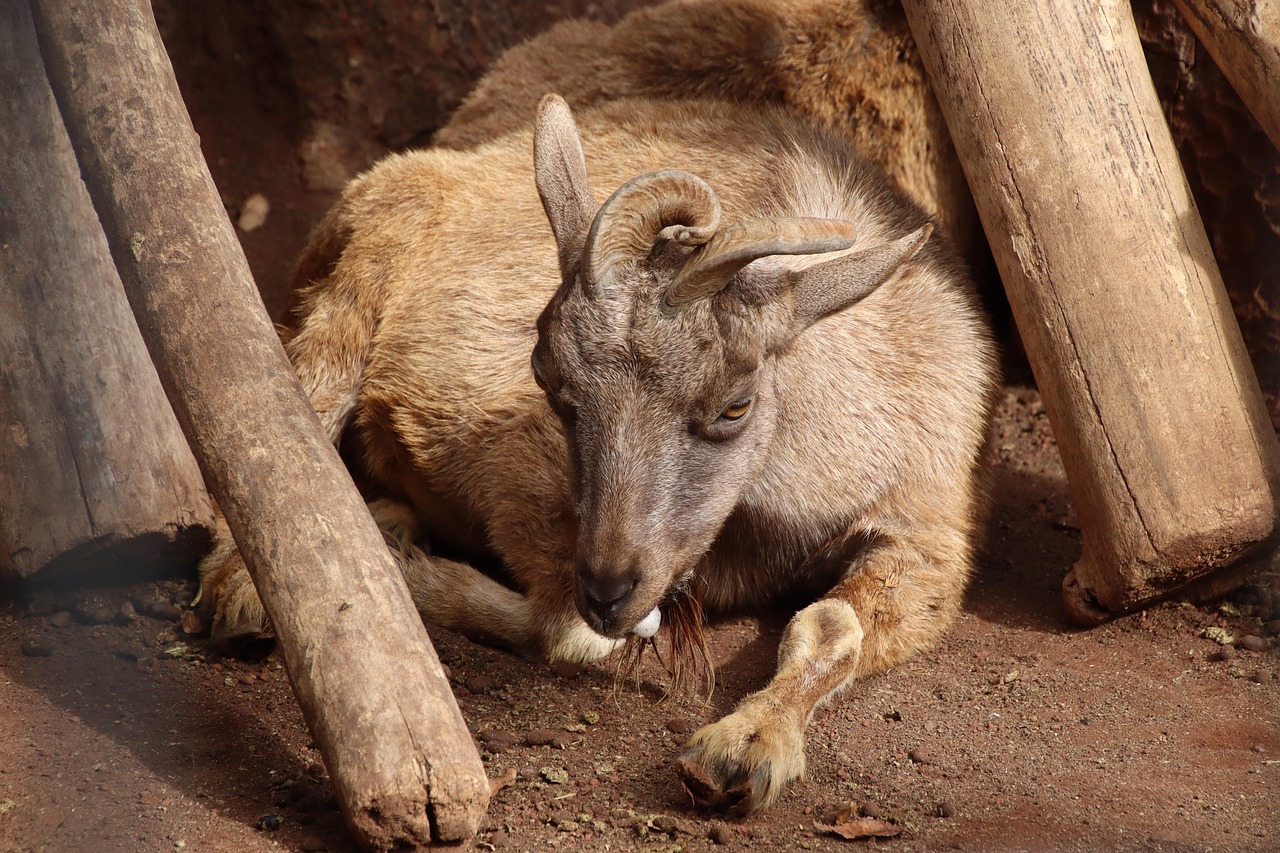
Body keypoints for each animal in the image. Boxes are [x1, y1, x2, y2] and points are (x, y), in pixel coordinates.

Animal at [198, 89, 997, 814]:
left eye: (735, 404)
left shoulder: (925, 531)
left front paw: (742, 751)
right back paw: (250, 586)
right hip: (354, 283)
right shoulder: (520, 473)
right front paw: (409, 575)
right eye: (550, 383)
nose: (612, 590)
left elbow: (831, 626)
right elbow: (565, 631)